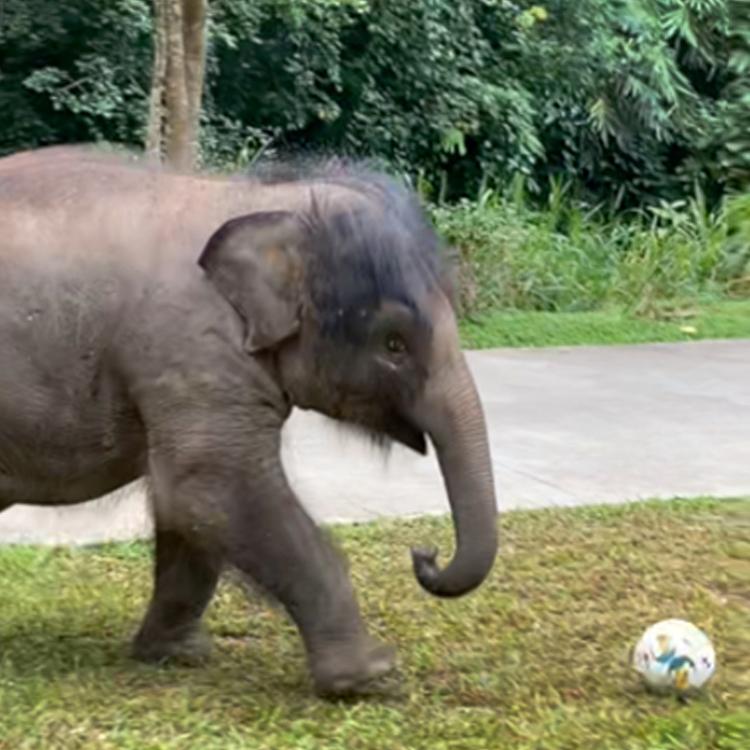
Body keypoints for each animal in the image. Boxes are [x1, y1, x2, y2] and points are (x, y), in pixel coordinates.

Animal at [0, 145, 498, 697]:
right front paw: (370, 675)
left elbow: (185, 505)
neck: (262, 199)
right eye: (394, 344)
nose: (424, 554)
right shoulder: (195, 347)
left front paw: (176, 654)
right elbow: (212, 485)